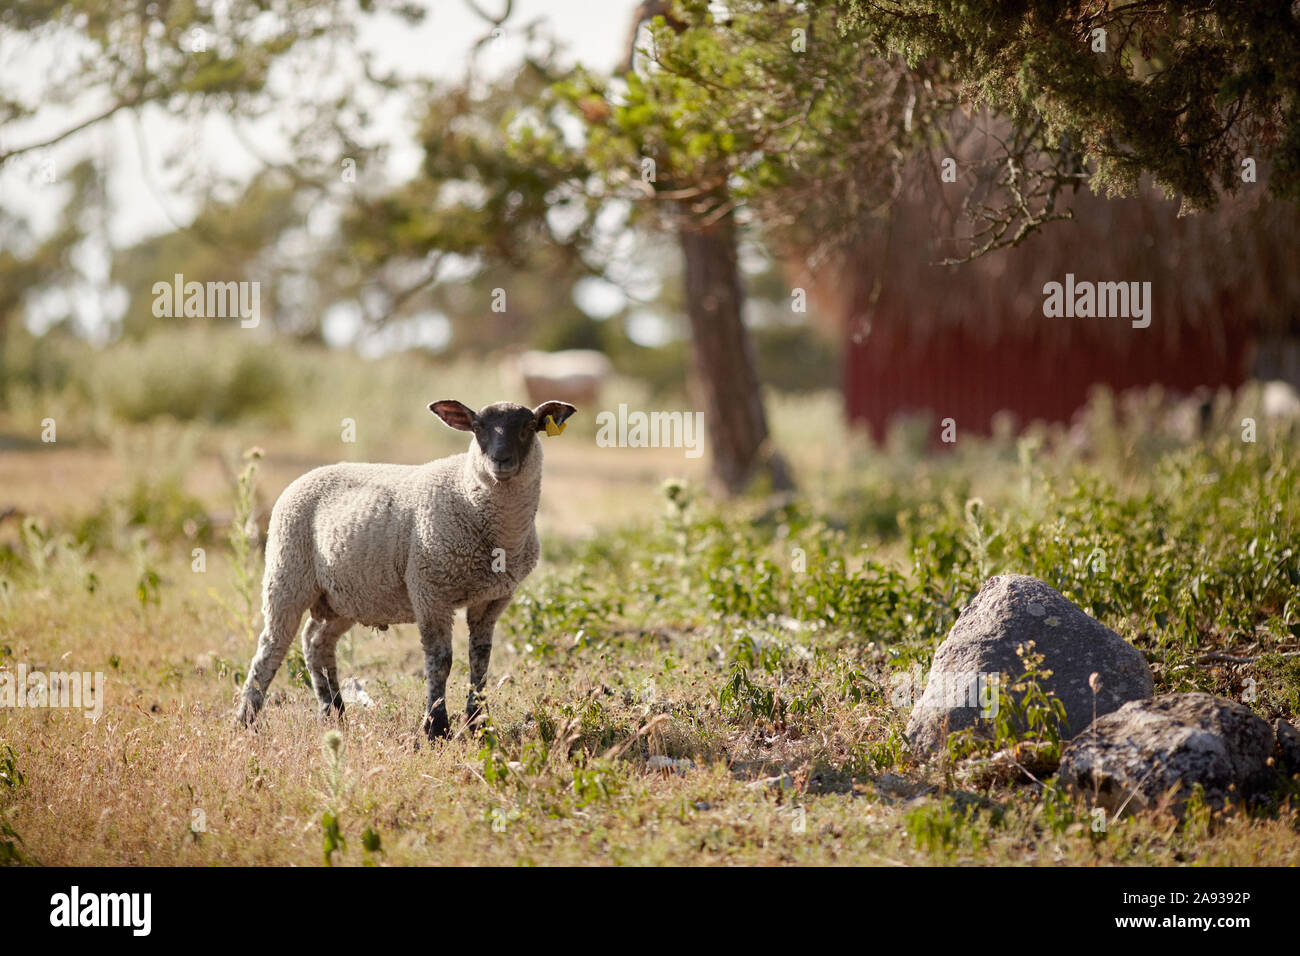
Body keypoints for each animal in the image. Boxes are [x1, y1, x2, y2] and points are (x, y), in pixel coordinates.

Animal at [233, 398, 577, 740]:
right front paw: (436, 727)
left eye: (529, 427)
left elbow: (480, 659)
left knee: (315, 642)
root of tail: (306, 476)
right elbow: (440, 660)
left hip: (346, 596)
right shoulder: (429, 589)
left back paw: (333, 712)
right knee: (271, 648)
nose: (500, 461)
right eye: (478, 427)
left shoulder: (492, 599)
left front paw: (478, 723)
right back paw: (246, 719)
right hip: (287, 571)